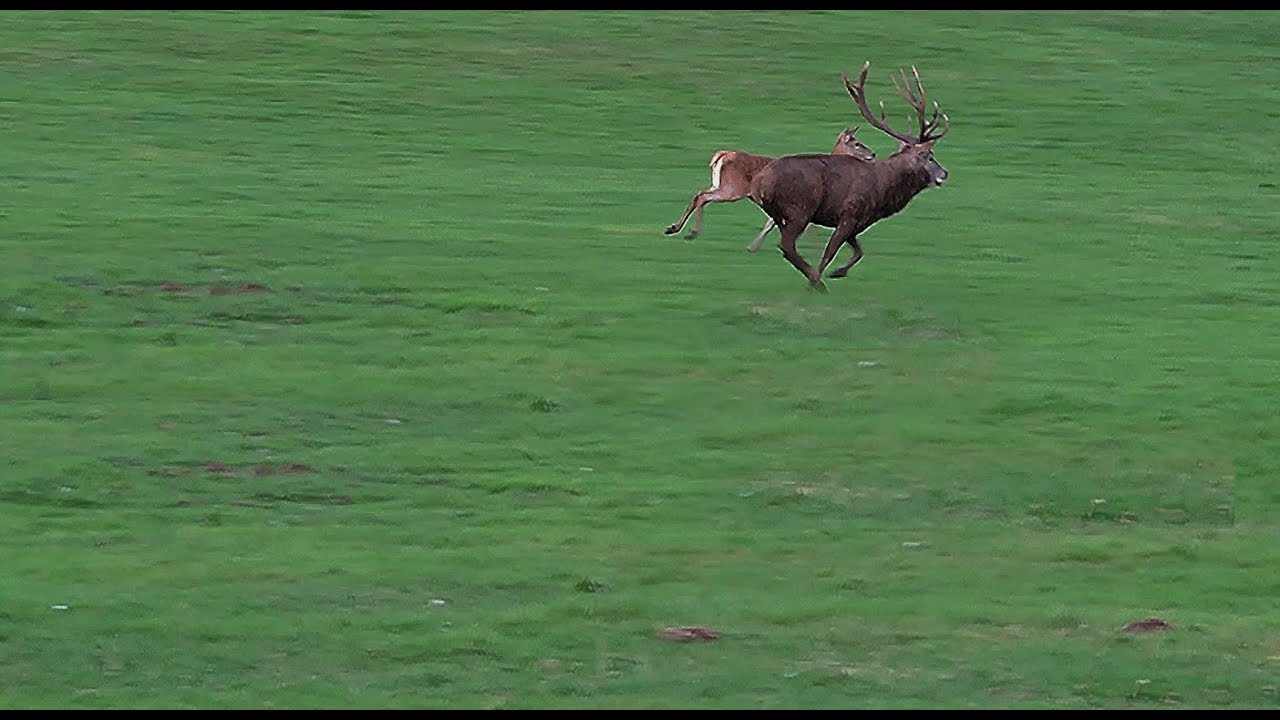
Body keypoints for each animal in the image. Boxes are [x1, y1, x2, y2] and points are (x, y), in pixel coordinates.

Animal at [664, 127, 876, 252]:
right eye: (857, 143)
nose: (873, 154)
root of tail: (721, 155)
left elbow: (769, 223)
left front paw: (752, 247)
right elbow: (804, 225)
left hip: (720, 184)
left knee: (699, 194)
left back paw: (675, 228)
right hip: (732, 189)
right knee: (702, 196)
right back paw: (691, 232)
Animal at [746, 61, 951, 291]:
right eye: (930, 157)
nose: (945, 173)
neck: (884, 190)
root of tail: (759, 184)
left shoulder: (857, 224)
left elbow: (858, 252)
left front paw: (838, 272)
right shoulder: (850, 213)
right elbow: (829, 253)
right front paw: (817, 280)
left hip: (779, 213)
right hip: (800, 209)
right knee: (787, 245)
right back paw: (817, 283)